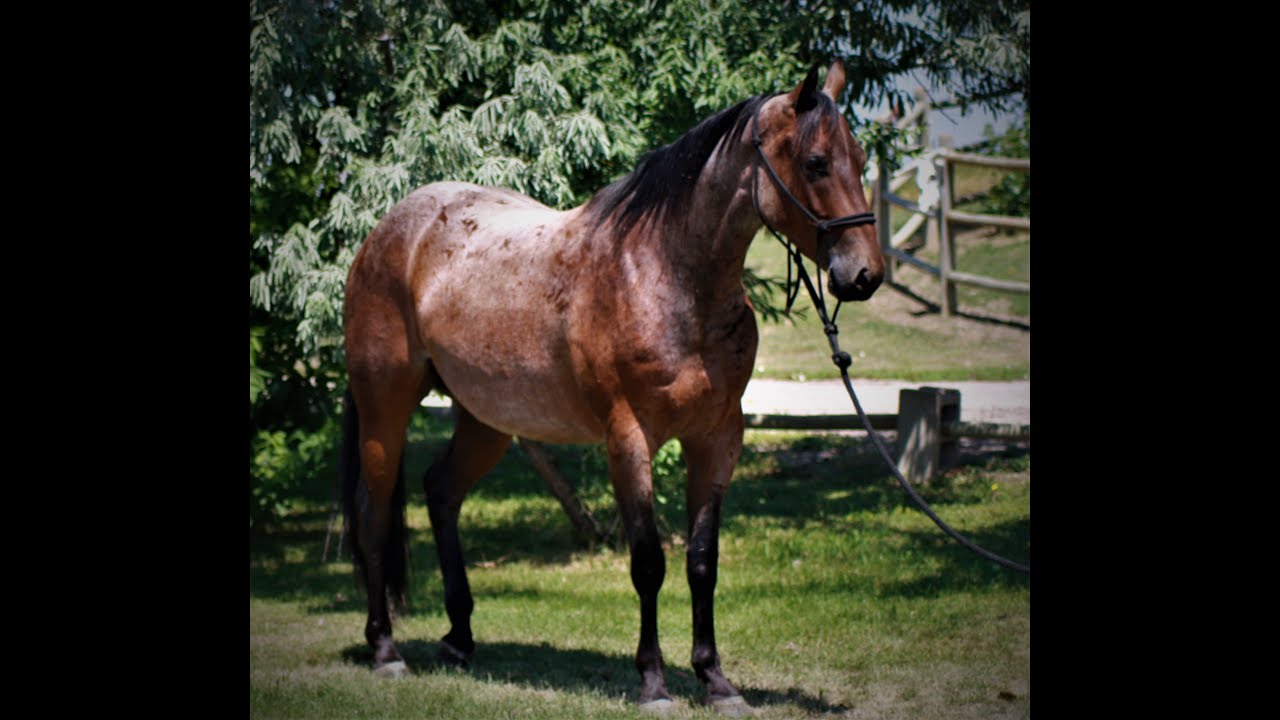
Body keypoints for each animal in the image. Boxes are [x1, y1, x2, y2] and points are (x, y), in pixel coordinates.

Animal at [339, 60, 885, 714]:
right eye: (816, 162)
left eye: (861, 157)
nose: (865, 274)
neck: (665, 275)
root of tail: (386, 232)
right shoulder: (628, 439)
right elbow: (648, 561)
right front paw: (652, 683)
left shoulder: (718, 438)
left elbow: (702, 561)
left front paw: (716, 680)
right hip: (385, 404)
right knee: (372, 513)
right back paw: (385, 650)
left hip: (486, 419)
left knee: (441, 492)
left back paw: (460, 638)